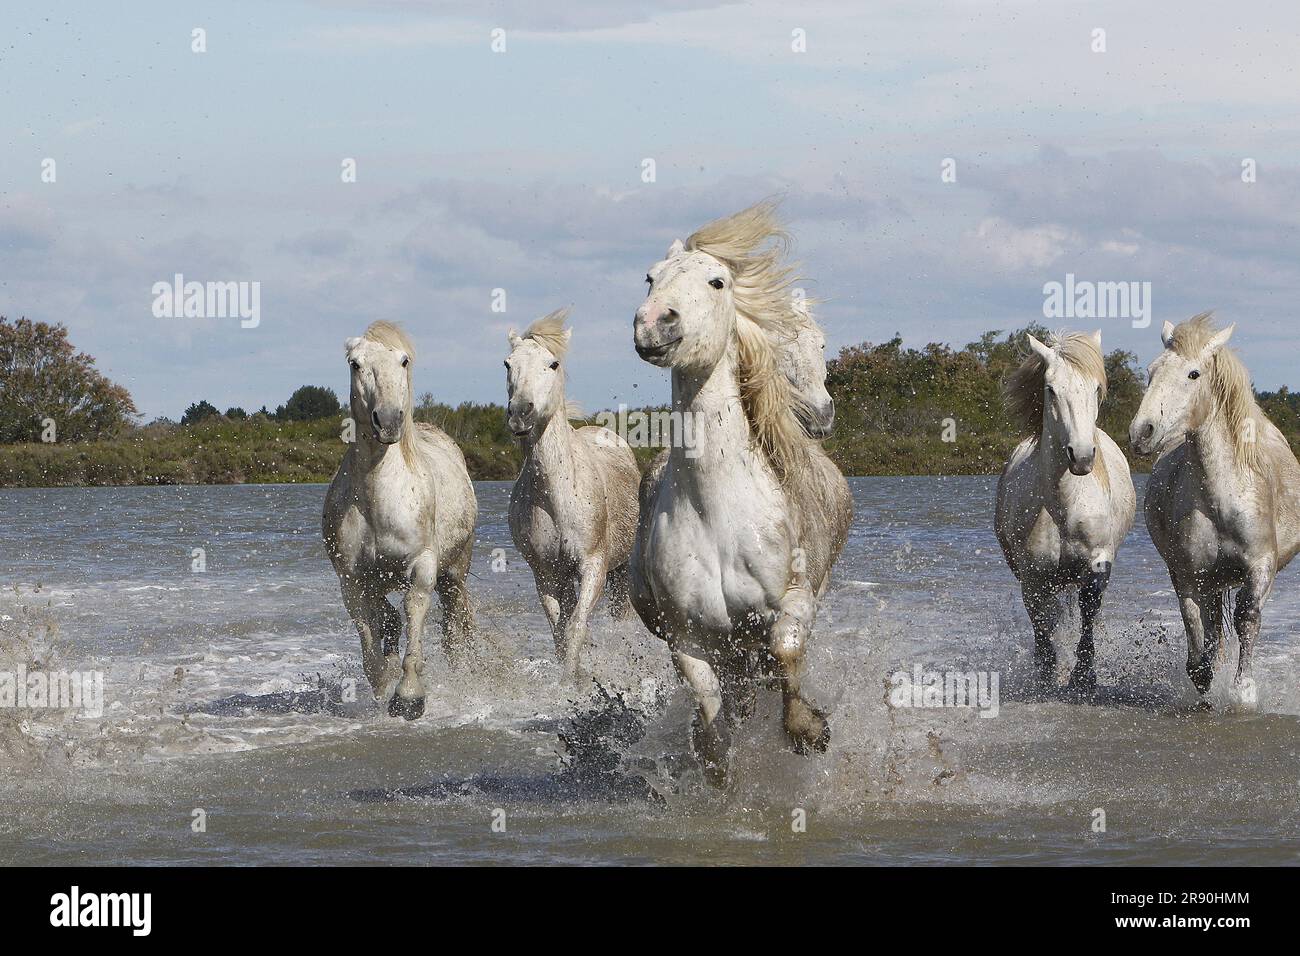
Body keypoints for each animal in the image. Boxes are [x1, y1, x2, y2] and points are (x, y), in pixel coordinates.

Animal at [322, 321, 477, 720]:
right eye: (355, 364)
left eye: (404, 361)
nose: (389, 420)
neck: (378, 495)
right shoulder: (352, 579)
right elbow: (370, 638)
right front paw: (384, 687)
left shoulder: (422, 568)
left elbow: (413, 614)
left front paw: (409, 696)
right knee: (388, 620)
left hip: (454, 574)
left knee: (453, 630)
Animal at [505, 309, 641, 681]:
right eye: (508, 364)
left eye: (552, 364)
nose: (521, 412)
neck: (556, 494)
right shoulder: (545, 574)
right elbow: (559, 630)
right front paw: (572, 679)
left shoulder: (594, 566)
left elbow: (577, 625)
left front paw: (571, 680)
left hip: (621, 568)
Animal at [629, 200, 853, 786]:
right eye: (650, 278)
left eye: (717, 282)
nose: (654, 322)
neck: (717, 510)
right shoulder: (687, 636)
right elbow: (710, 714)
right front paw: (717, 767)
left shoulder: (793, 602)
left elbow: (786, 651)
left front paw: (809, 731)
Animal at [994, 330, 1136, 694]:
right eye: (1051, 389)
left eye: (1096, 389)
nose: (1082, 457)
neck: (1064, 510)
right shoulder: (1033, 576)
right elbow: (1042, 622)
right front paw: (1046, 674)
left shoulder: (1098, 562)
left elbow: (1088, 608)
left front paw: (1084, 677)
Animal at [1130, 314, 1300, 707]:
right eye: (1151, 371)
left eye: (1194, 374)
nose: (1142, 432)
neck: (1222, 498)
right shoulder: (1190, 574)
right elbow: (1197, 631)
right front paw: (1207, 683)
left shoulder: (1260, 567)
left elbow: (1247, 617)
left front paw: (1244, 690)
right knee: (1209, 626)